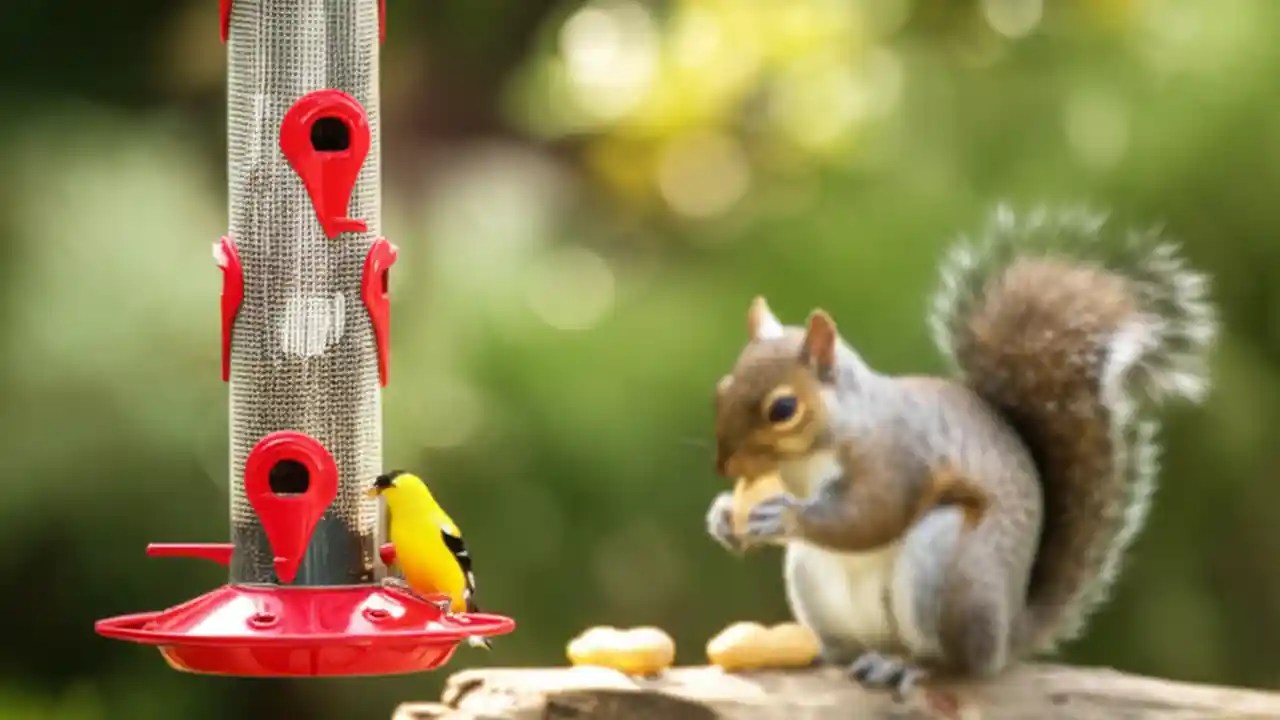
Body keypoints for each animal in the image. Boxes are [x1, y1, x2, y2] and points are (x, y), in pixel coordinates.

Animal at [705, 206, 1218, 697]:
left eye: (783, 409)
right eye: (722, 389)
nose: (725, 465)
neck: (806, 460)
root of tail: (1005, 636)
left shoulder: (897, 456)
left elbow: (870, 515)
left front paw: (786, 515)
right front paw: (723, 515)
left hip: (946, 568)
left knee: (953, 663)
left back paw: (908, 665)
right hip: (812, 575)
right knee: (847, 646)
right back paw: (818, 653)